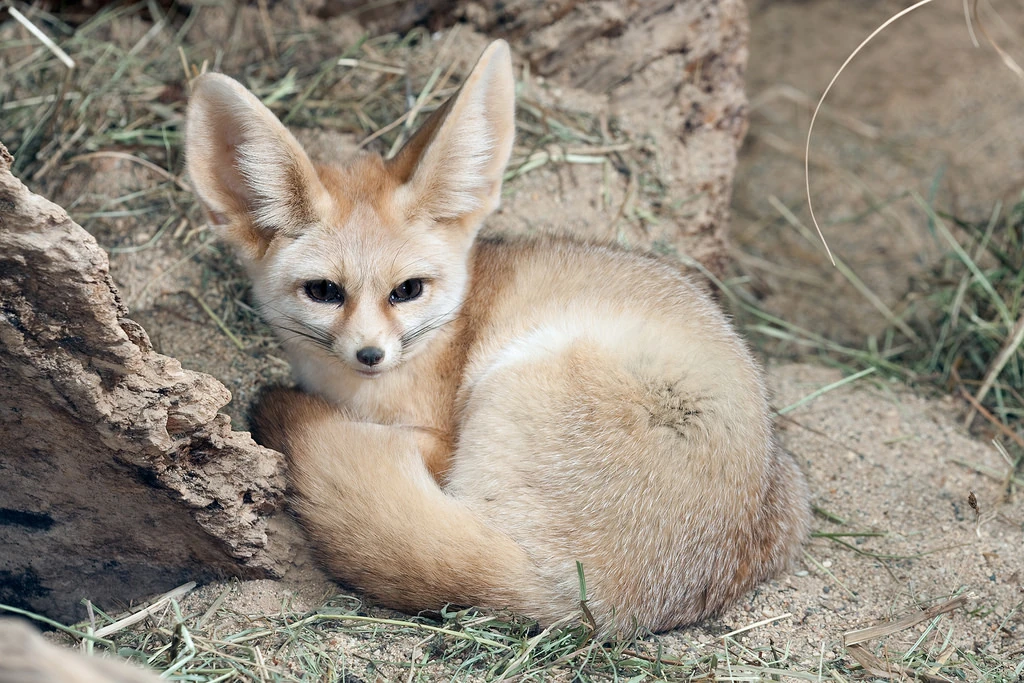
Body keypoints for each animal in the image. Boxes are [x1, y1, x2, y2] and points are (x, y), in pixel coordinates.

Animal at [184, 39, 811, 635]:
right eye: (324, 291)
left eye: (407, 290)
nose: (370, 354)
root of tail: (600, 604)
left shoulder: (438, 431)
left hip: (508, 386)